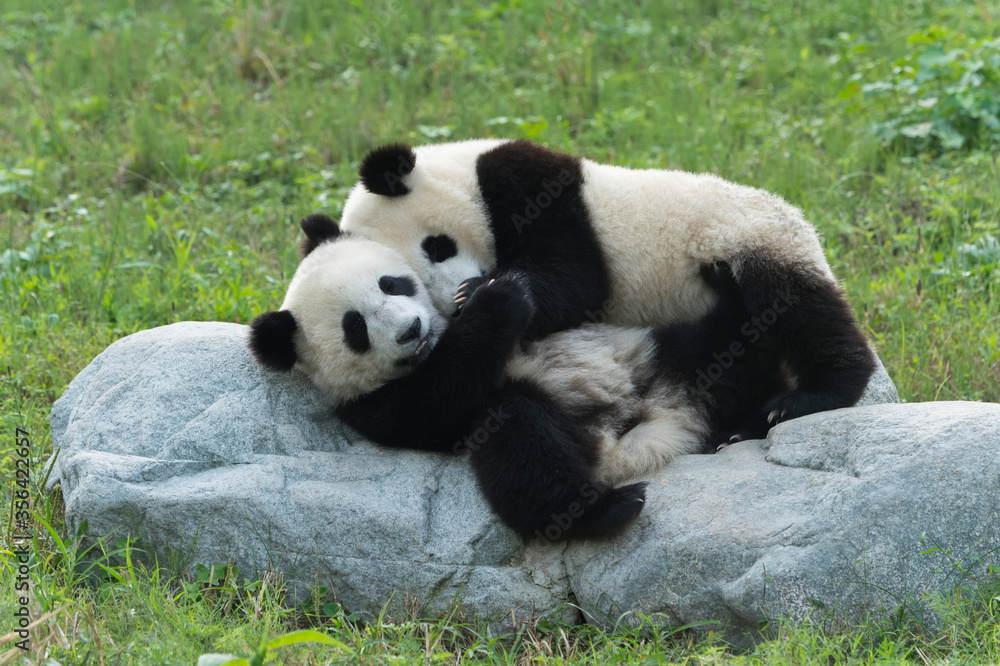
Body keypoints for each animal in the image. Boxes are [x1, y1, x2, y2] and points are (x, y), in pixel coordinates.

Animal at [249, 215, 788, 540]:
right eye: (356, 328)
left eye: (391, 284)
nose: (410, 330)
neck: (438, 339)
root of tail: (653, 429)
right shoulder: (375, 404)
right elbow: (436, 398)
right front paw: (500, 297)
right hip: (549, 417)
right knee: (525, 446)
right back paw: (607, 507)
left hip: (653, 356)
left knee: (723, 348)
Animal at [335, 139, 877, 426]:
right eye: (412, 288)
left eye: (437, 246)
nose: (455, 295)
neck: (464, 172)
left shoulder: (532, 186)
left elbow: (576, 277)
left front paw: (484, 292)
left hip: (751, 238)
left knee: (798, 309)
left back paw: (809, 397)